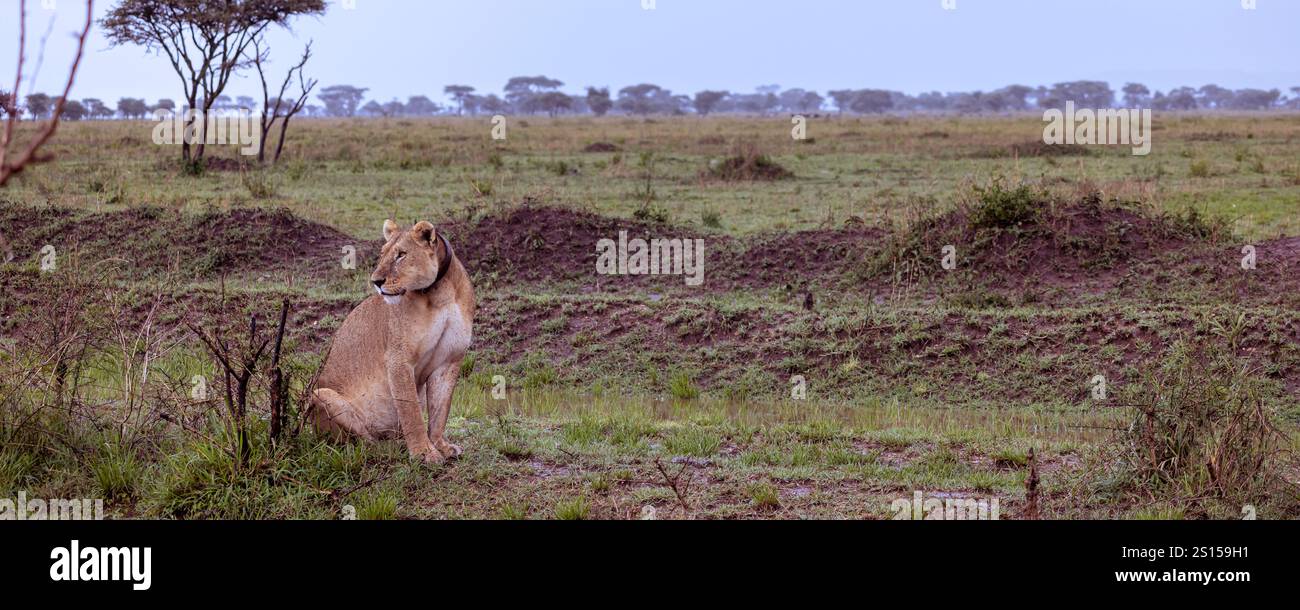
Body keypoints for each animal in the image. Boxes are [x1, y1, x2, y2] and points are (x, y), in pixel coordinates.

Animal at [310, 219, 475, 464]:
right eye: (383, 254)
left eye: (401, 255)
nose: (376, 281)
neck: (440, 293)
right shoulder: (398, 359)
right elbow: (411, 411)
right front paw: (424, 453)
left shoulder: (449, 360)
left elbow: (440, 410)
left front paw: (440, 446)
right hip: (321, 395)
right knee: (360, 442)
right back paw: (389, 447)